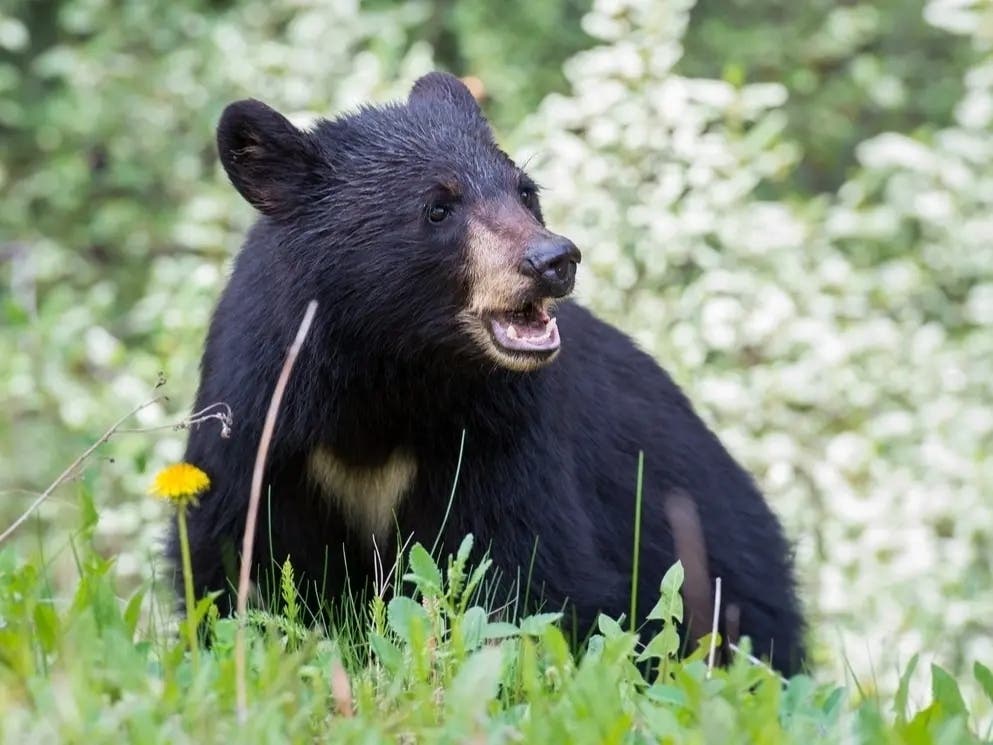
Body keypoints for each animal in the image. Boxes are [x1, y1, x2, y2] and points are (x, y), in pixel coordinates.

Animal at [170, 71, 804, 674]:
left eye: (526, 192)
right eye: (438, 207)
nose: (553, 260)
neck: (385, 372)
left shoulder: (499, 431)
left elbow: (523, 567)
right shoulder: (263, 422)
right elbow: (234, 559)